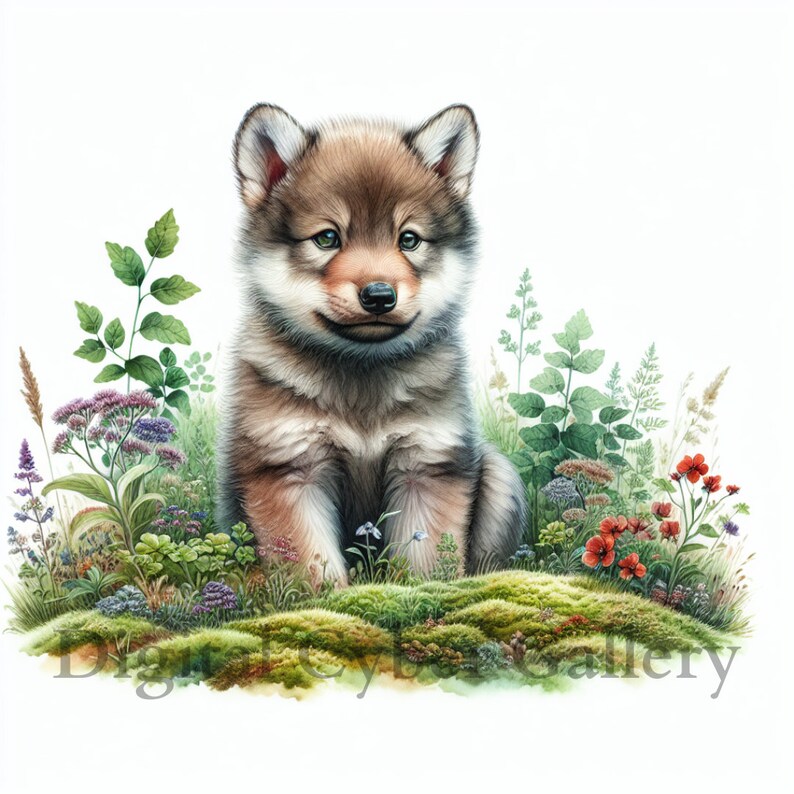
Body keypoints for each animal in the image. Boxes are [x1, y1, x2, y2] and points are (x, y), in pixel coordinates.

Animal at [216, 103, 526, 585]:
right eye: (327, 237)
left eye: (409, 239)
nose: (379, 295)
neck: (361, 371)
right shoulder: (291, 467)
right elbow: (312, 568)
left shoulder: (427, 466)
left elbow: (424, 562)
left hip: (500, 478)